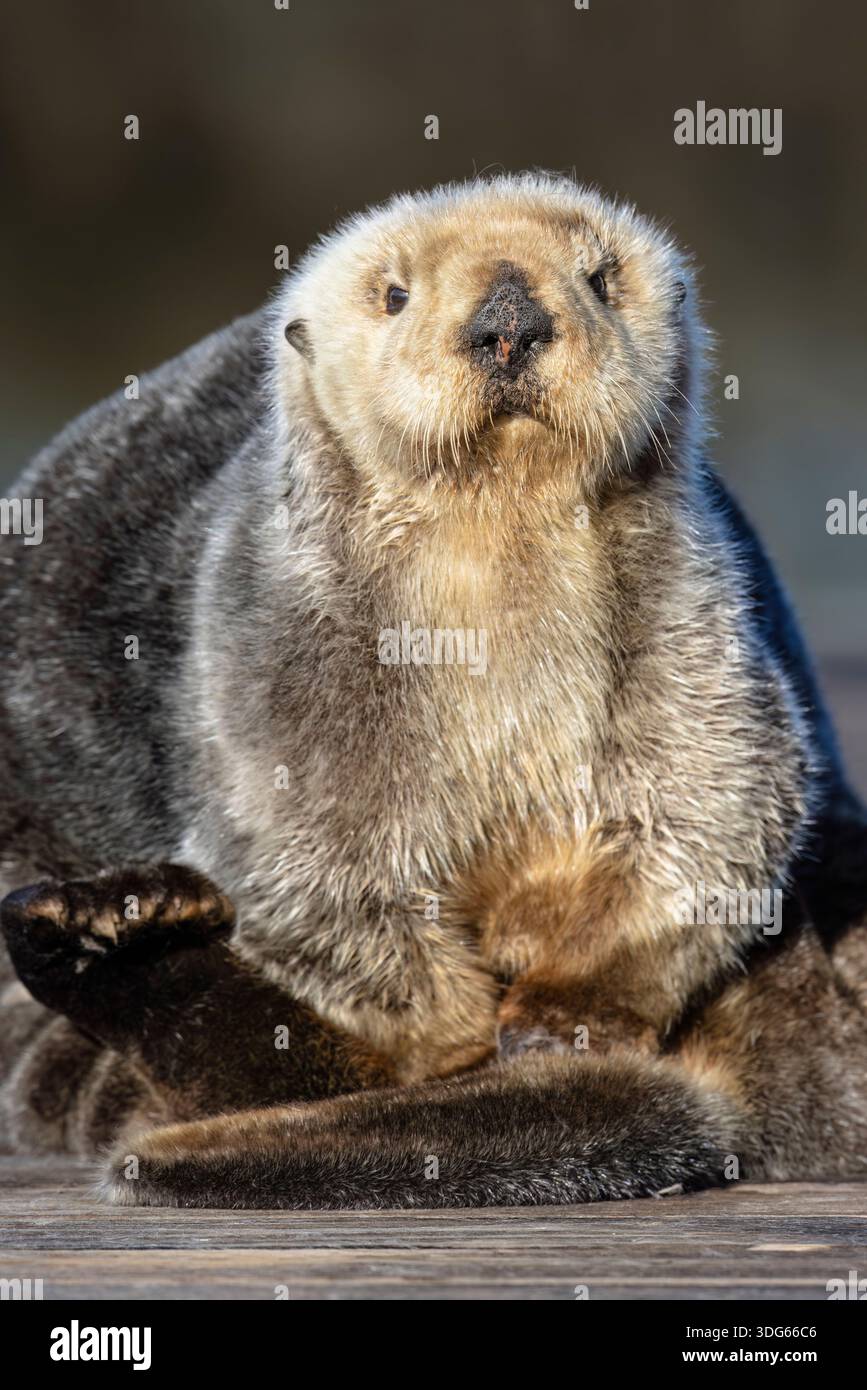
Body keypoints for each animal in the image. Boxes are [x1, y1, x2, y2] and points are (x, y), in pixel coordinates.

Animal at [1, 173, 866, 1208]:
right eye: (393, 294)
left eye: (601, 277)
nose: (509, 322)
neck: (495, 565)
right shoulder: (276, 661)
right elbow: (327, 885)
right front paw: (461, 1043)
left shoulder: (693, 623)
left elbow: (712, 814)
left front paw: (562, 1018)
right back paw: (109, 927)